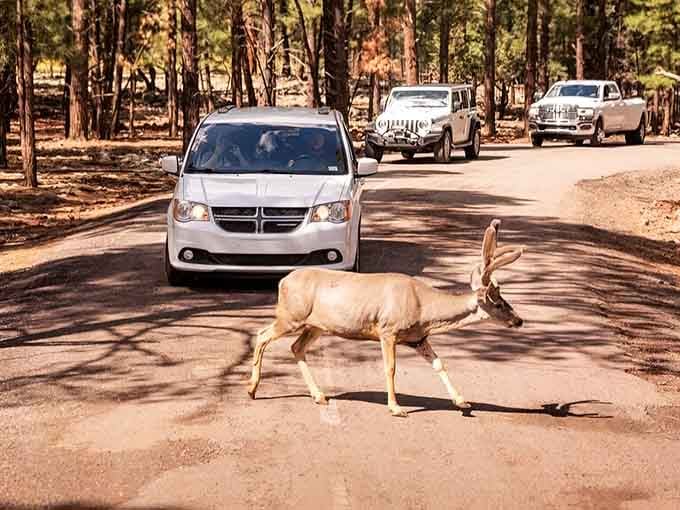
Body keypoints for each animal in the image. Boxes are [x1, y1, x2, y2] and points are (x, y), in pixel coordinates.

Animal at [248, 219, 524, 417]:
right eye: (500, 303)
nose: (519, 320)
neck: (423, 307)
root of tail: (283, 281)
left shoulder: (418, 338)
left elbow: (439, 364)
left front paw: (462, 401)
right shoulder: (388, 330)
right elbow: (390, 368)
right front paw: (396, 408)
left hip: (315, 326)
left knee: (296, 347)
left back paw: (319, 395)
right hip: (291, 315)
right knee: (262, 334)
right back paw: (251, 389)